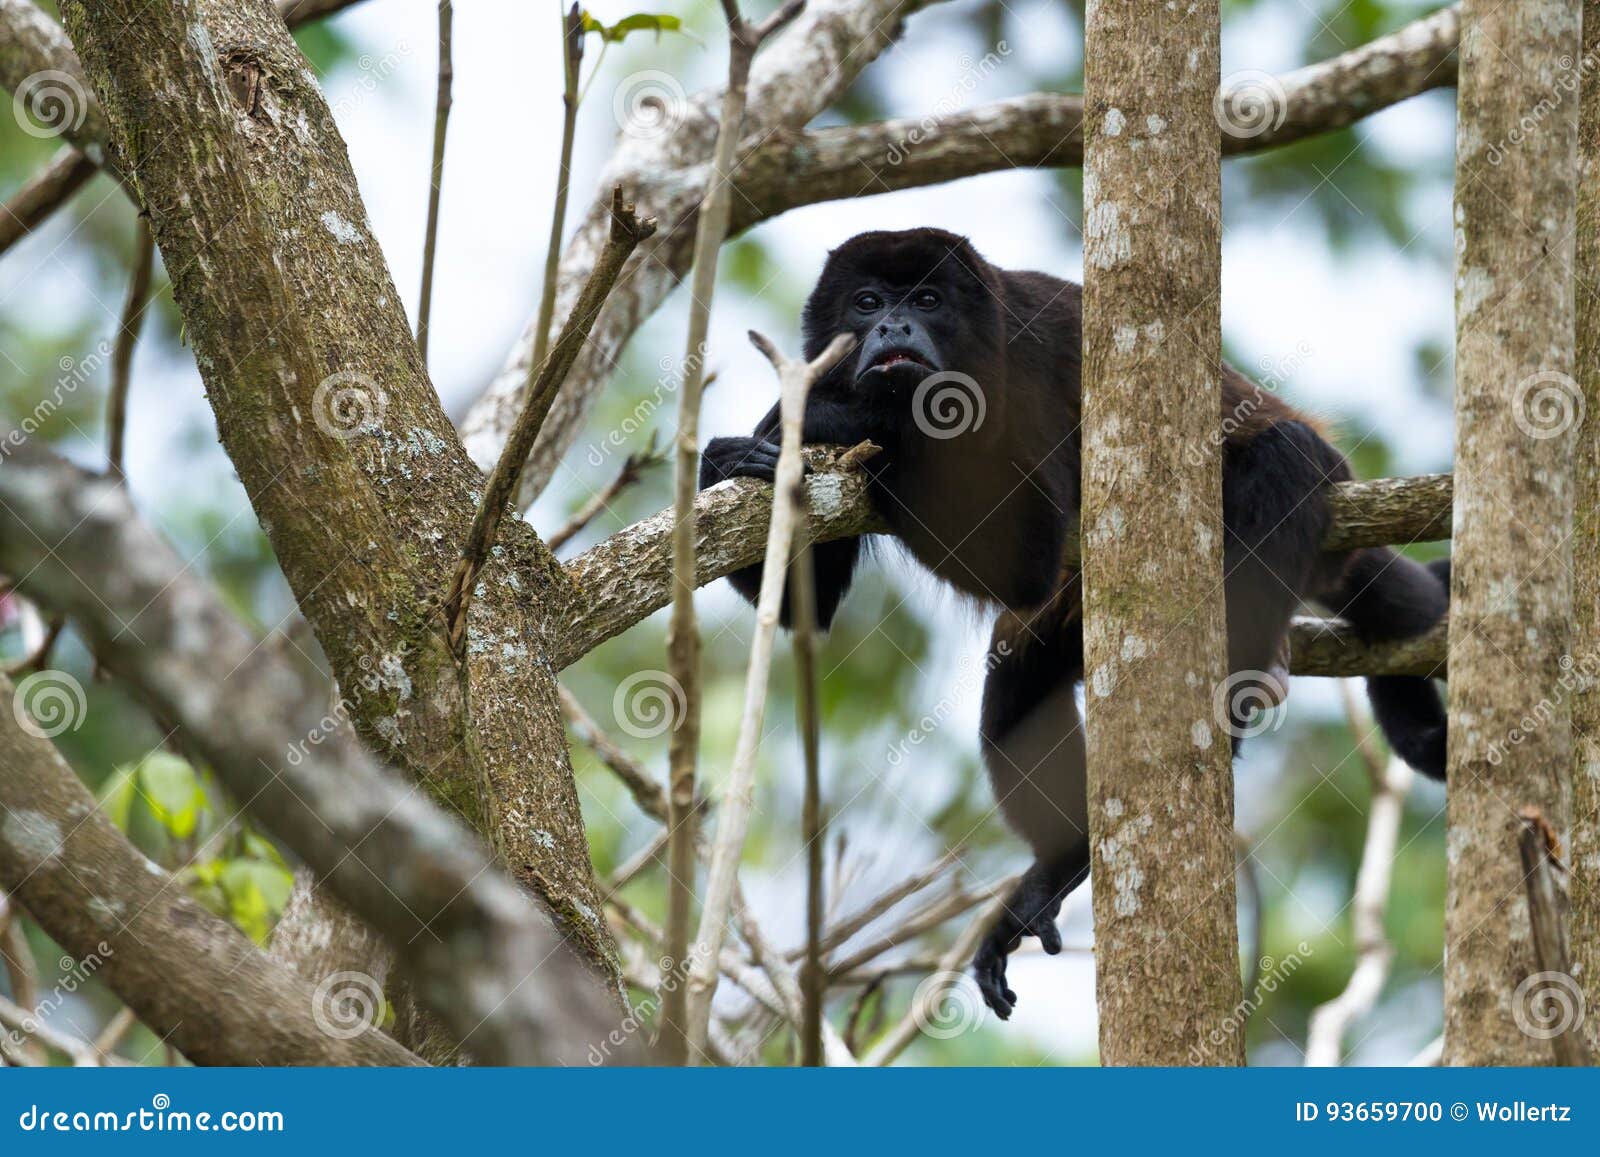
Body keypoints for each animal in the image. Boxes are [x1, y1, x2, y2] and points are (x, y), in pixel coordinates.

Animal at [698, 228, 1449, 1019]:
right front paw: (735, 455)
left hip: (1321, 482)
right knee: (1012, 701)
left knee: (1284, 458)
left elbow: (1025, 549)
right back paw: (1057, 865)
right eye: (867, 302)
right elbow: (804, 602)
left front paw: (851, 416)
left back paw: (1236, 688)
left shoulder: (1027, 365)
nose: (893, 328)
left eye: (926, 301)